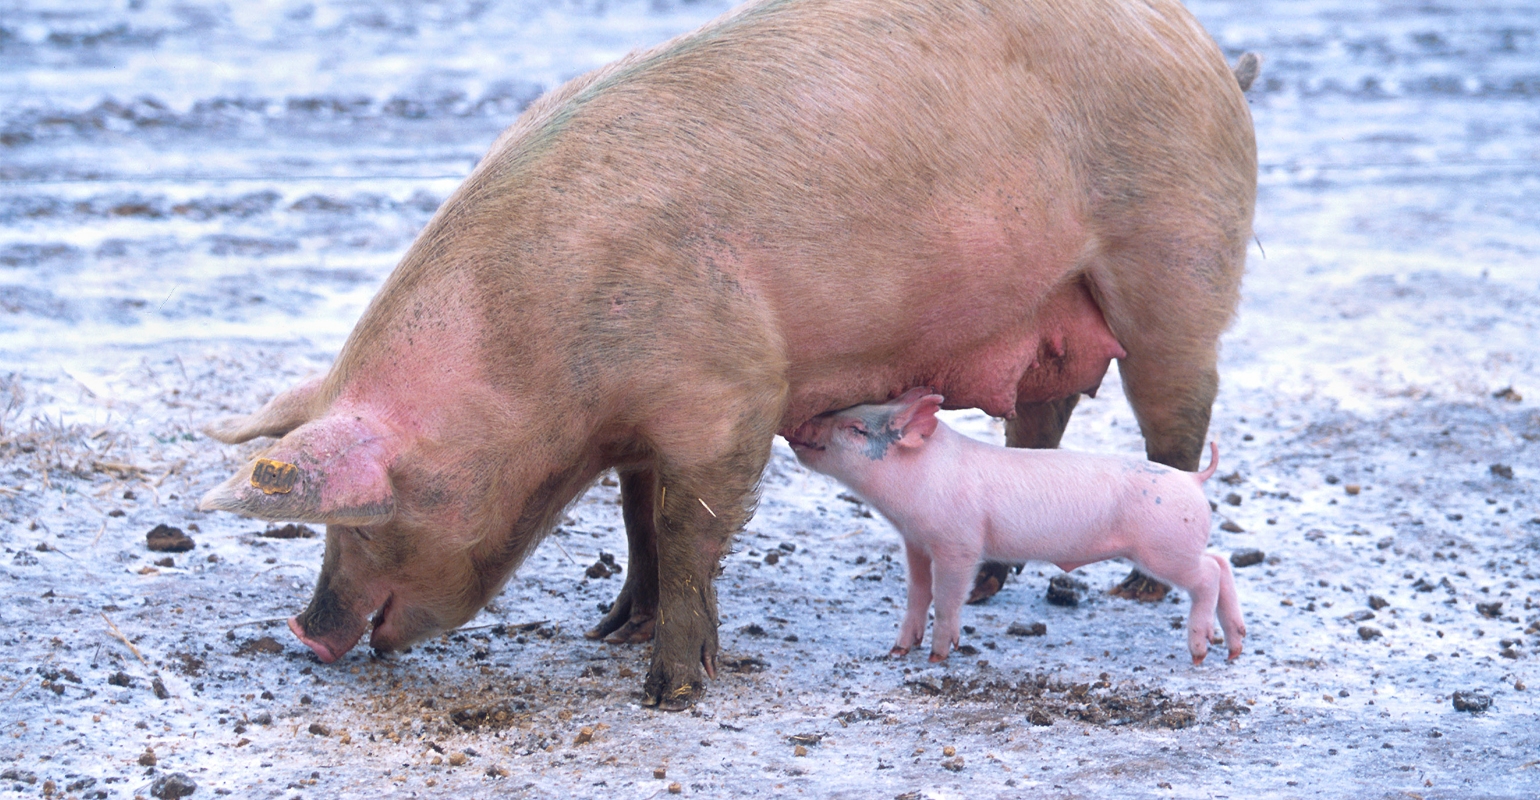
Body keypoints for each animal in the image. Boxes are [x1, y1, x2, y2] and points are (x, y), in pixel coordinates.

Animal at [788, 389, 1245, 664]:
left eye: (855, 429)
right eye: (845, 412)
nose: (798, 425)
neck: (920, 478)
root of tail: (1194, 479)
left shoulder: (959, 543)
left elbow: (947, 597)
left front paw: (938, 657)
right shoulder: (916, 542)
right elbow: (917, 593)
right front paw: (897, 651)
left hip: (1164, 548)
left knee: (1207, 574)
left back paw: (1201, 651)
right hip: (1178, 545)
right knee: (1221, 561)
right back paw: (1234, 648)